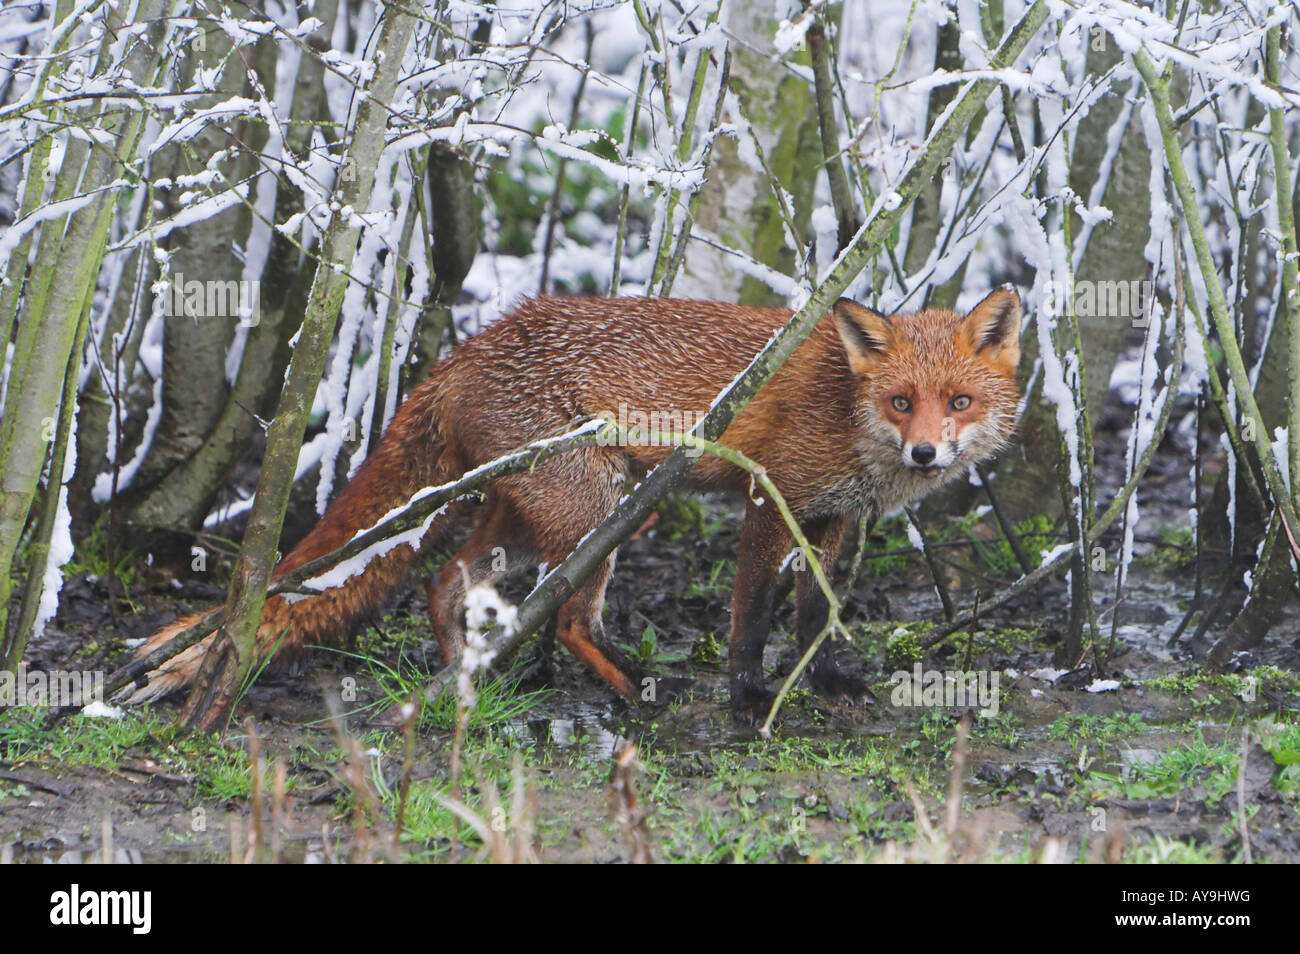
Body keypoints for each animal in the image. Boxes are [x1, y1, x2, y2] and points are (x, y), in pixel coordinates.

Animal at [123, 290, 1022, 722]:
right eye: (902, 402)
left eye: (960, 402)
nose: (926, 454)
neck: (847, 414)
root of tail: (471, 345)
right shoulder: (772, 500)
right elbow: (751, 618)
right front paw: (747, 700)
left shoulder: (835, 519)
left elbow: (816, 615)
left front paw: (831, 682)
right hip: (598, 513)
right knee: (565, 620)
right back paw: (633, 690)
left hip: (534, 515)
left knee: (445, 580)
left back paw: (468, 677)